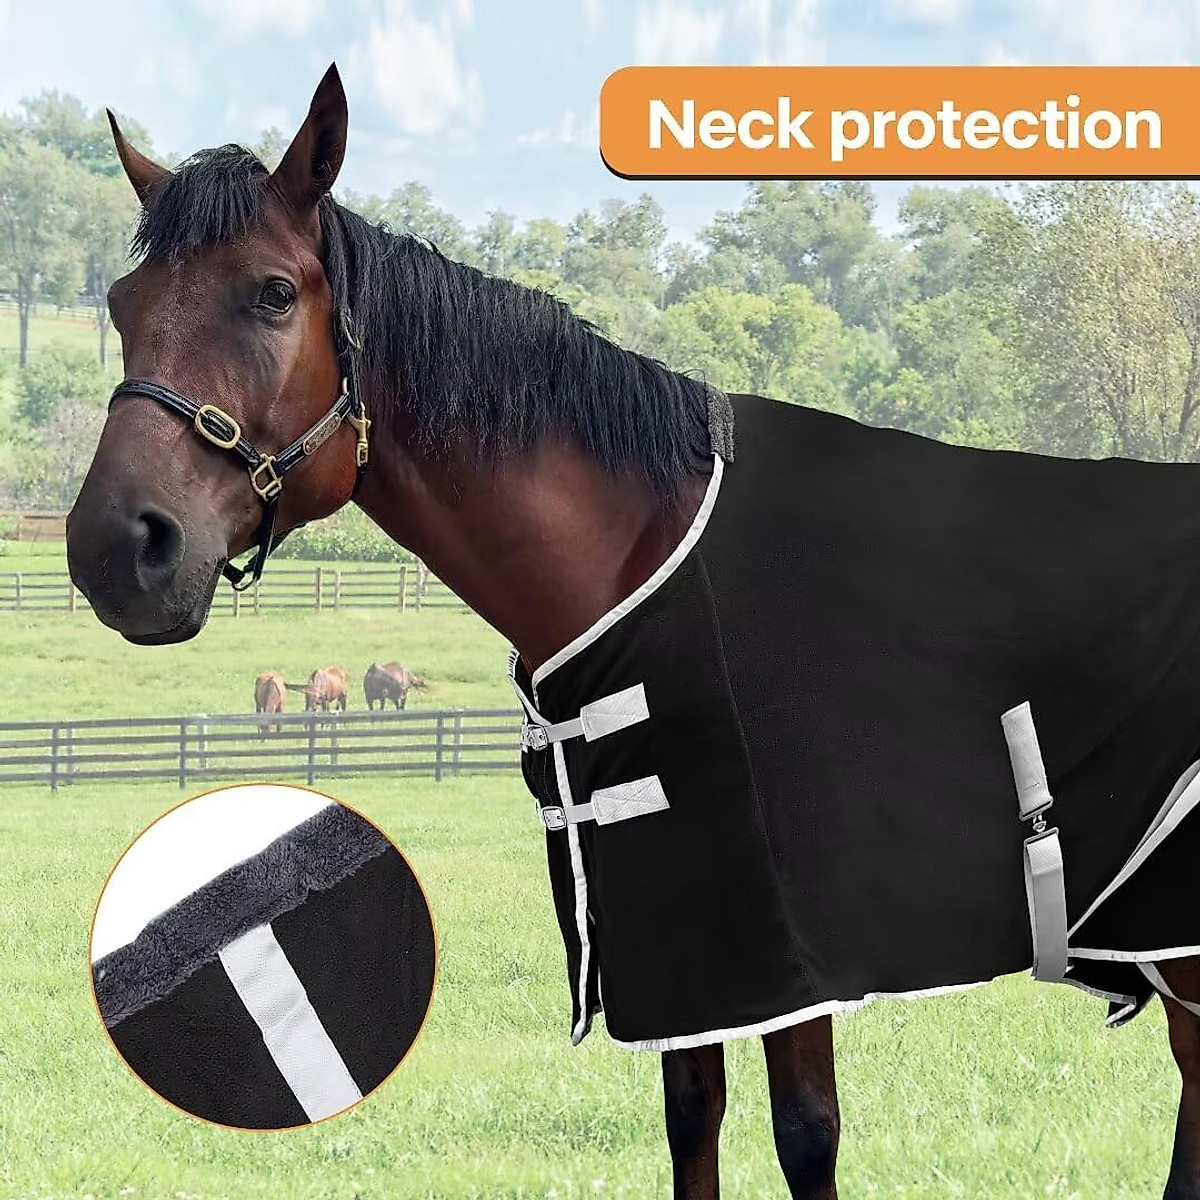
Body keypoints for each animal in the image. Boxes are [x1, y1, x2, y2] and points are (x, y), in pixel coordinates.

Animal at [63, 67, 1200, 1198]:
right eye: (121, 305)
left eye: (271, 292)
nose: (117, 549)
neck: (647, 557)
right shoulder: (675, 936)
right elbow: (692, 1117)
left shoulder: (776, 949)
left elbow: (806, 1134)